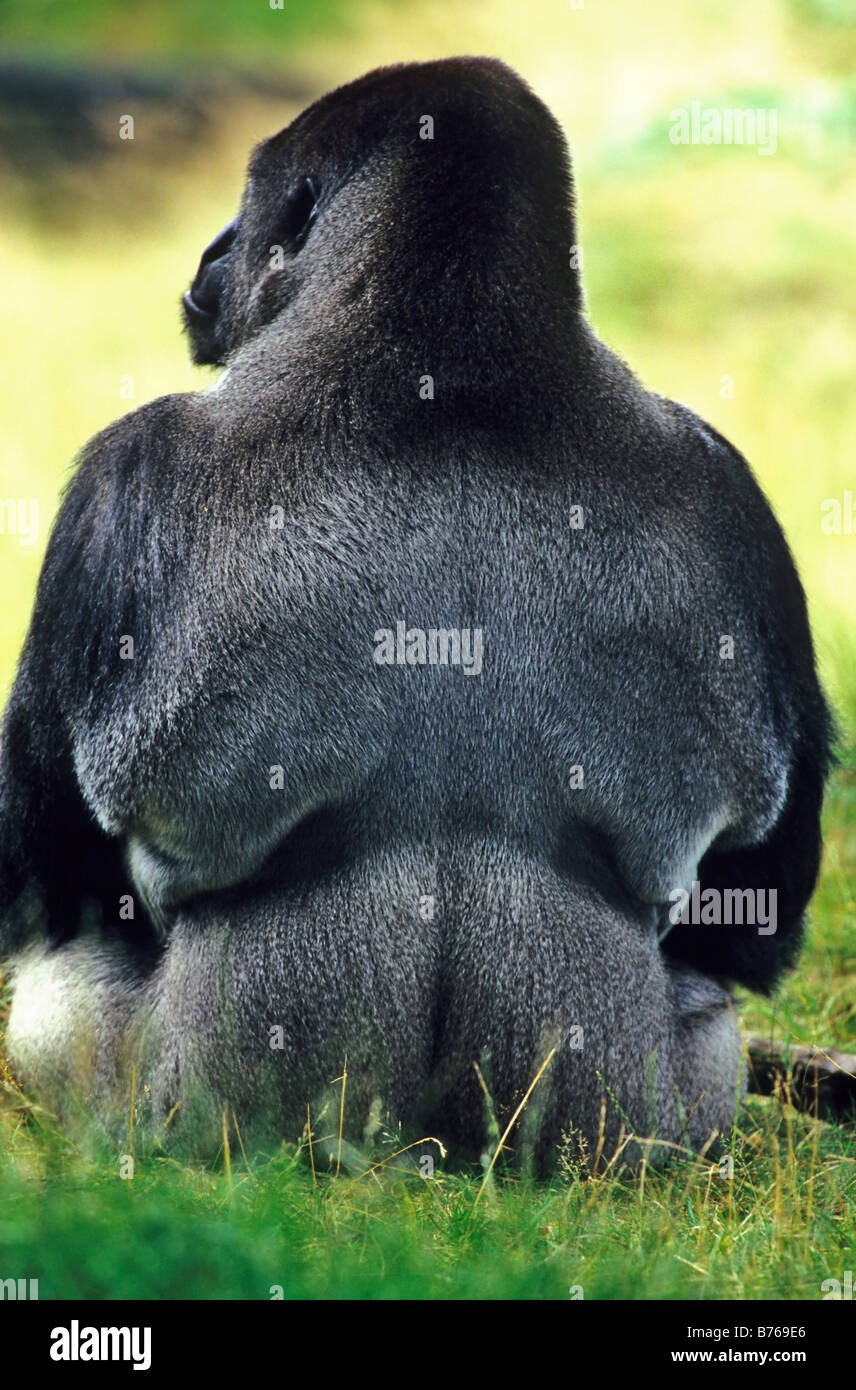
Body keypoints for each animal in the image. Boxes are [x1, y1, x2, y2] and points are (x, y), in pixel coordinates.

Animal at [0, 57, 832, 1169]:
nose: (212, 251)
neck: (442, 338)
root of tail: (416, 1156)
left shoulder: (117, 480)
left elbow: (47, 860)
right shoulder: (736, 491)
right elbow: (756, 890)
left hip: (202, 1119)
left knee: (62, 991)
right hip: (616, 1131)